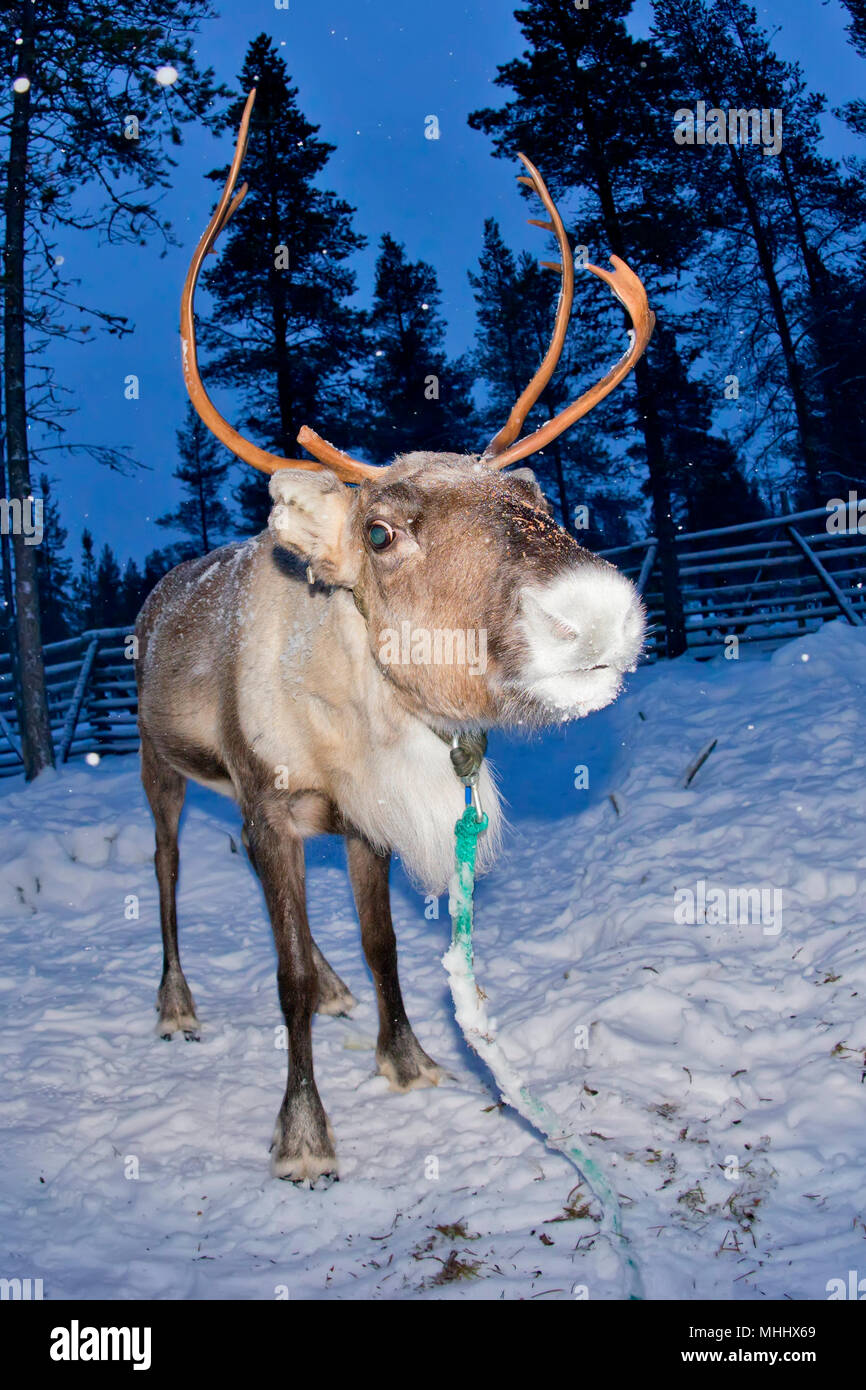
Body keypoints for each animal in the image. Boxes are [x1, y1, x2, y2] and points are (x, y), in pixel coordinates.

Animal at [135, 90, 654, 1182]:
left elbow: (381, 949)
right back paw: (175, 1006)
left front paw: (408, 1059)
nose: (595, 611)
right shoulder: (273, 800)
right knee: (165, 873)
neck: (358, 723)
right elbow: (282, 977)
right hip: (162, 768)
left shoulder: (357, 822)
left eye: (534, 494)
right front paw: (302, 1134)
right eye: (379, 532)